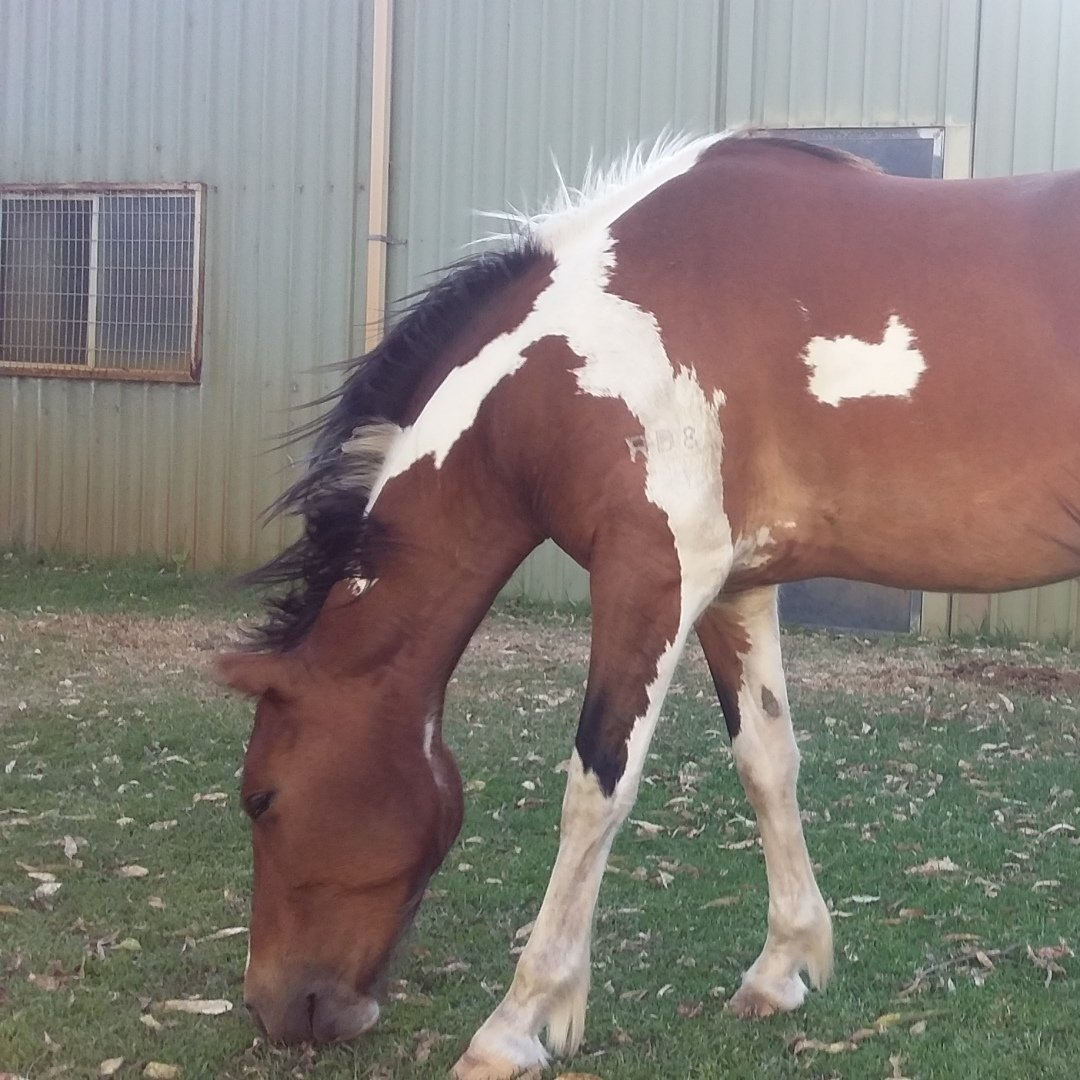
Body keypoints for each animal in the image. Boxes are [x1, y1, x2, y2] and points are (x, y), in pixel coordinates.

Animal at [217, 129, 1080, 1078]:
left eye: (262, 800)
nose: (277, 1006)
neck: (578, 352)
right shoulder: (735, 587)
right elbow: (766, 760)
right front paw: (782, 967)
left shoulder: (652, 575)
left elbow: (597, 787)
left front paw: (515, 1023)